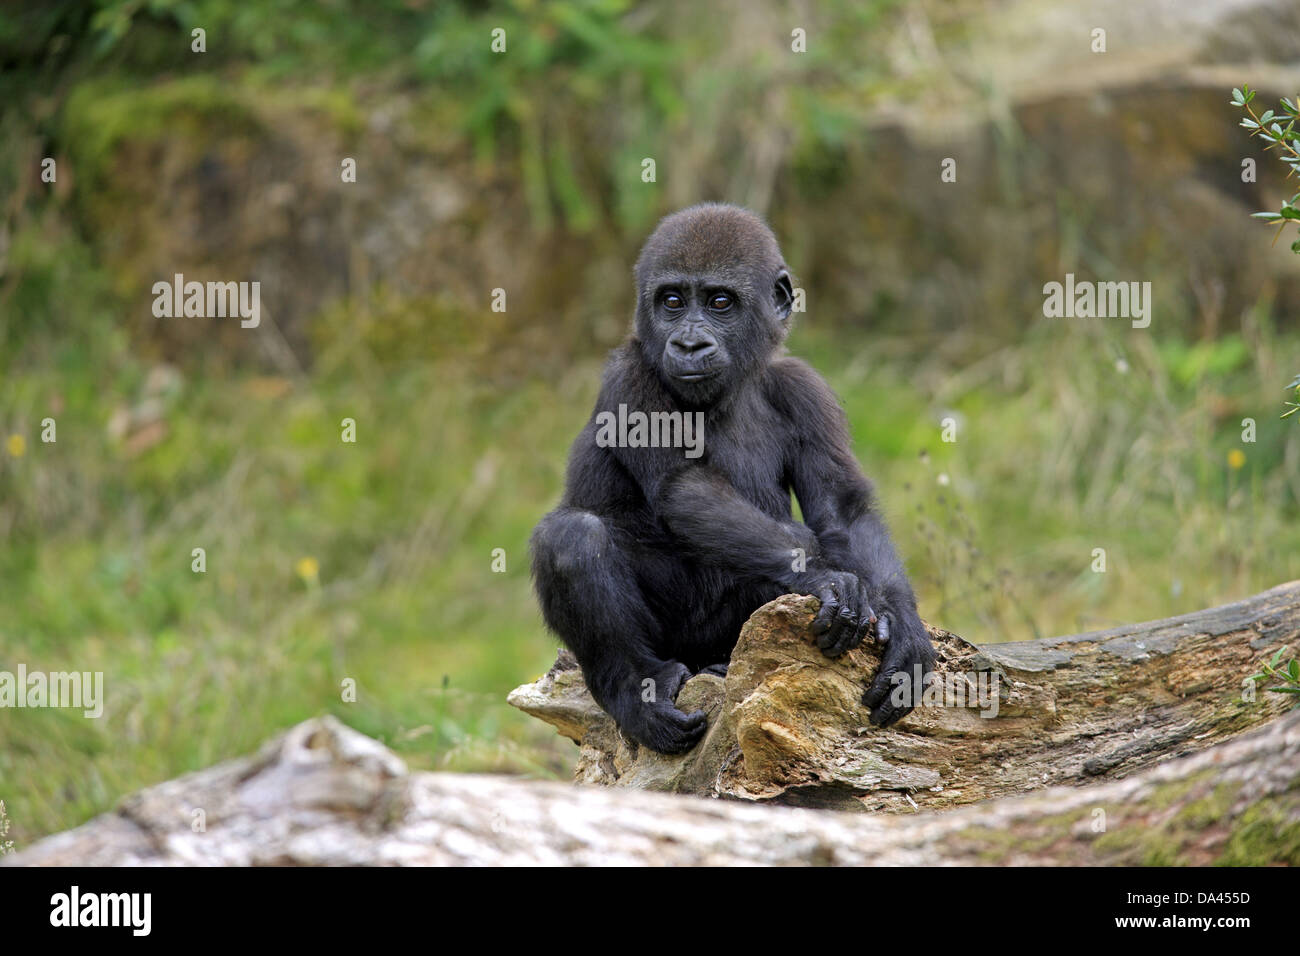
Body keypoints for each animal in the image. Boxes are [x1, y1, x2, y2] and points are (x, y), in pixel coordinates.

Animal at [531, 203, 934, 754]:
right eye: (672, 301)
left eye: (720, 302)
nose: (689, 343)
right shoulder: (629, 376)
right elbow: (683, 487)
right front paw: (823, 578)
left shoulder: (803, 388)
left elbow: (842, 510)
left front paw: (904, 623)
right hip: (674, 642)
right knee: (572, 536)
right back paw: (636, 689)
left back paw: (720, 666)